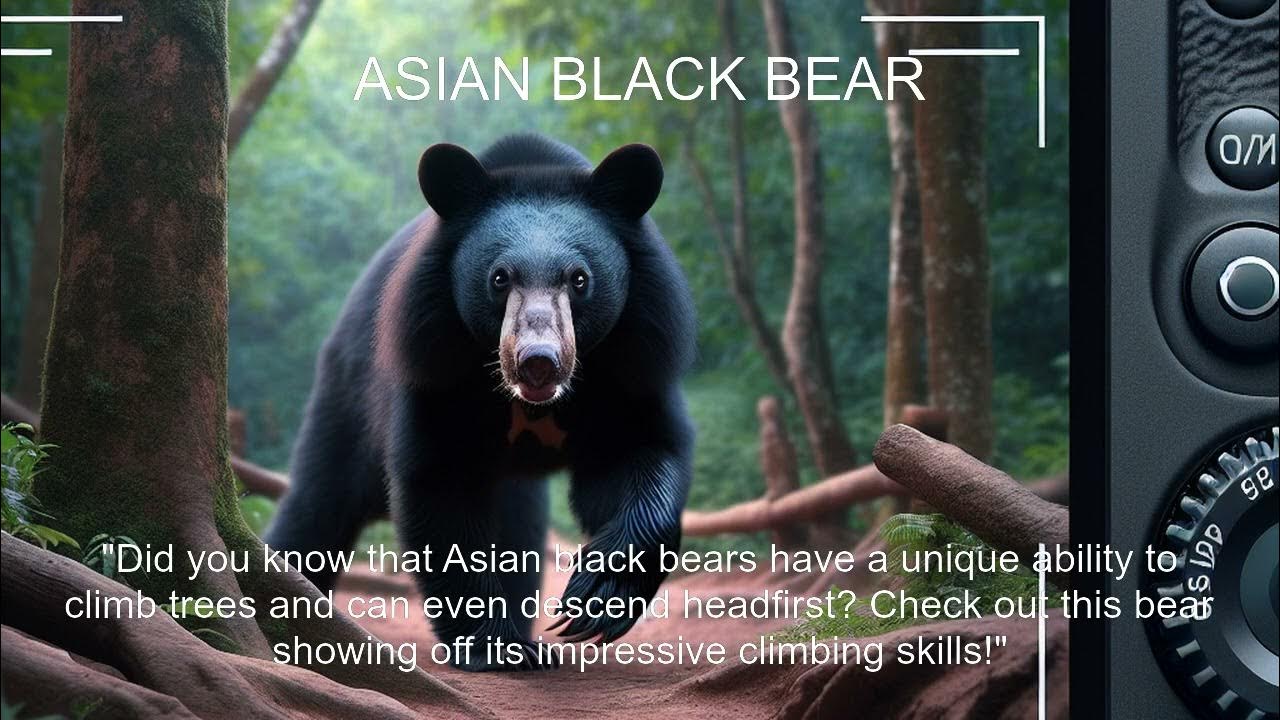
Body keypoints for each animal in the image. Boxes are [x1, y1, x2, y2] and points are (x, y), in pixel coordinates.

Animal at [264, 134, 696, 671]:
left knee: (518, 532)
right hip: (349, 389)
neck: (531, 403)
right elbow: (439, 485)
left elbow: (638, 456)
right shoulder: (434, 366)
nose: (539, 362)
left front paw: (593, 600)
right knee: (321, 498)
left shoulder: (636, 358)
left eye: (579, 279)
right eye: (499, 278)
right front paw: (494, 645)